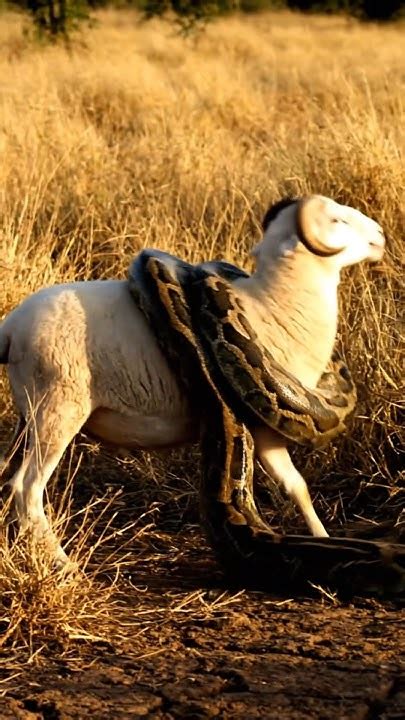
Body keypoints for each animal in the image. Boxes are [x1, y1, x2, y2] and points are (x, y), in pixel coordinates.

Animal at [0, 195, 385, 566]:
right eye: (336, 219)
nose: (380, 235)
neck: (271, 305)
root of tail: (11, 327)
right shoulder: (259, 426)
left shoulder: (266, 432)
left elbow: (297, 486)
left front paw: (322, 537)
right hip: (57, 411)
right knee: (26, 488)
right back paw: (62, 564)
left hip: (29, 416)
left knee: (8, 476)